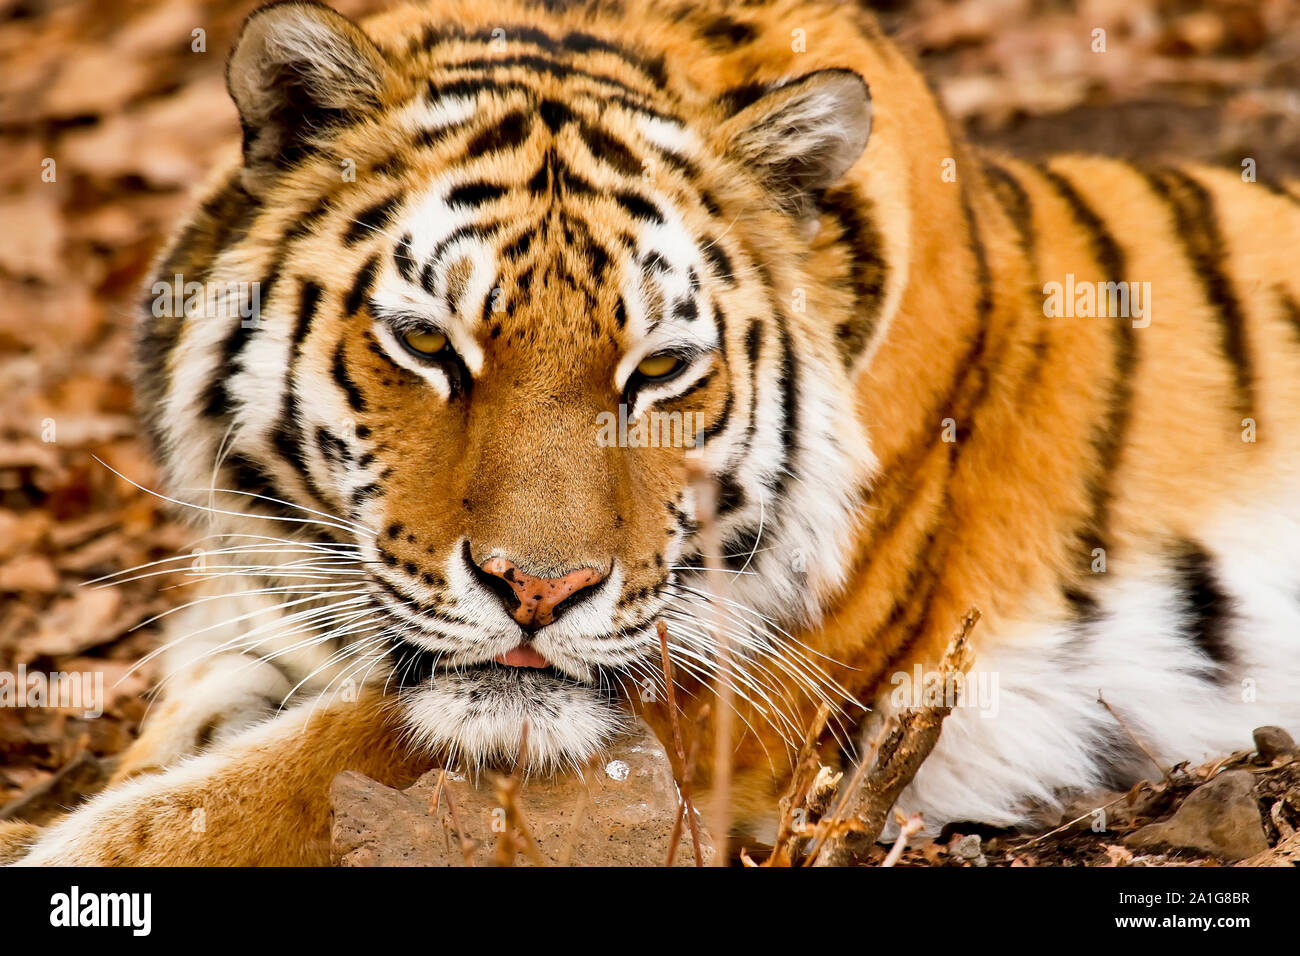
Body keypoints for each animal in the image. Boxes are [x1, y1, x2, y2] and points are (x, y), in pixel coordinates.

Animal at [7, 0, 1300, 866]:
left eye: (662, 369)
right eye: (429, 344)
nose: (539, 591)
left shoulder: (707, 703)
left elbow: (224, 802)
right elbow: (176, 755)